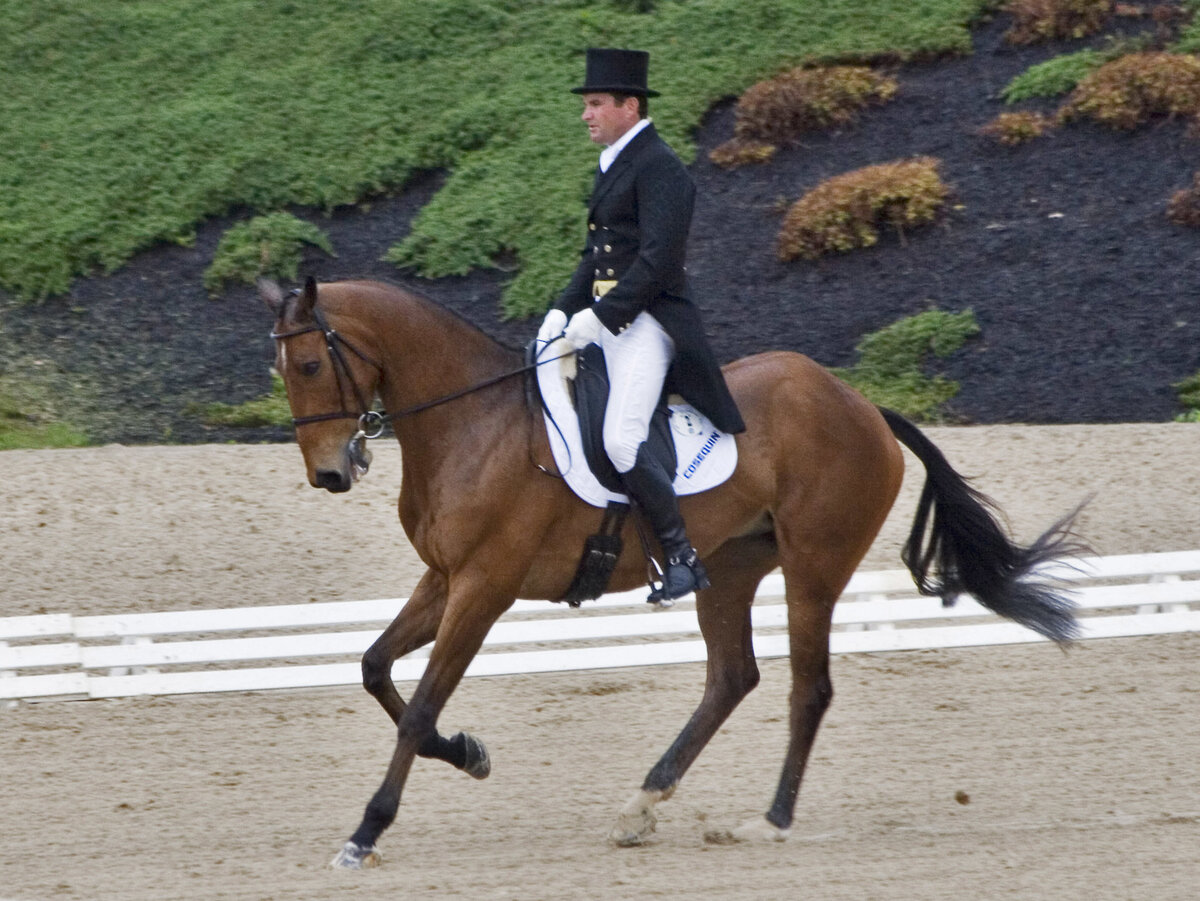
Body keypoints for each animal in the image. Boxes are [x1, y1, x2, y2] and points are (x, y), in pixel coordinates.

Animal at [258, 274, 1084, 868]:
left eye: (310, 363)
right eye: (282, 370)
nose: (330, 474)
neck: (472, 423)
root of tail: (861, 405)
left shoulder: (485, 586)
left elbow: (422, 701)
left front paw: (367, 829)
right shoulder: (443, 577)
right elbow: (375, 667)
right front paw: (470, 753)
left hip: (814, 565)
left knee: (806, 686)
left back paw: (771, 820)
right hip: (730, 564)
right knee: (732, 676)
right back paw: (642, 804)